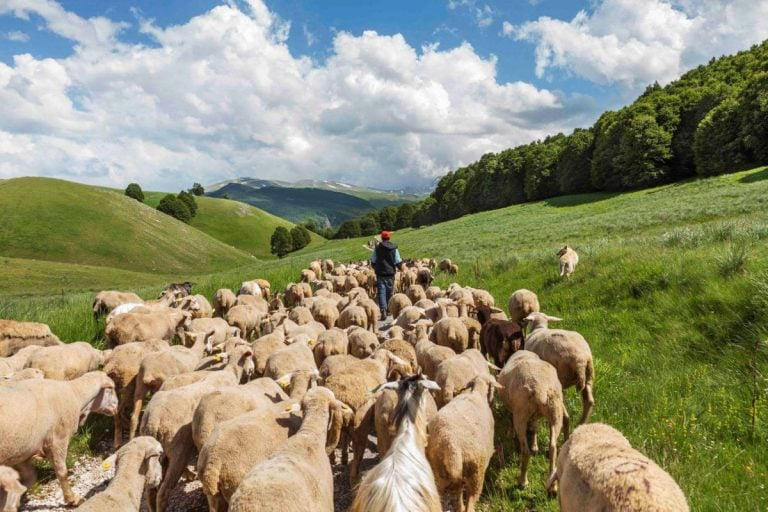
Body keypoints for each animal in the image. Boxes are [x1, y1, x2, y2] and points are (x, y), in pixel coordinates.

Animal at [0, 372, 117, 506]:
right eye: (111, 388)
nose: (117, 407)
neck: (76, 394)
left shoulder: (22, 452)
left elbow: (29, 479)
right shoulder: (58, 439)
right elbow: (62, 472)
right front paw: (72, 499)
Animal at [497, 350, 569, 489]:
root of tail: (540, 389)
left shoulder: (514, 410)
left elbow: (511, 420)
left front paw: (510, 433)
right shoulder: (535, 415)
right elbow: (535, 427)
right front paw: (535, 445)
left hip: (521, 414)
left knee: (525, 451)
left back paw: (522, 482)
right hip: (555, 412)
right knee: (552, 447)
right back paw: (553, 485)